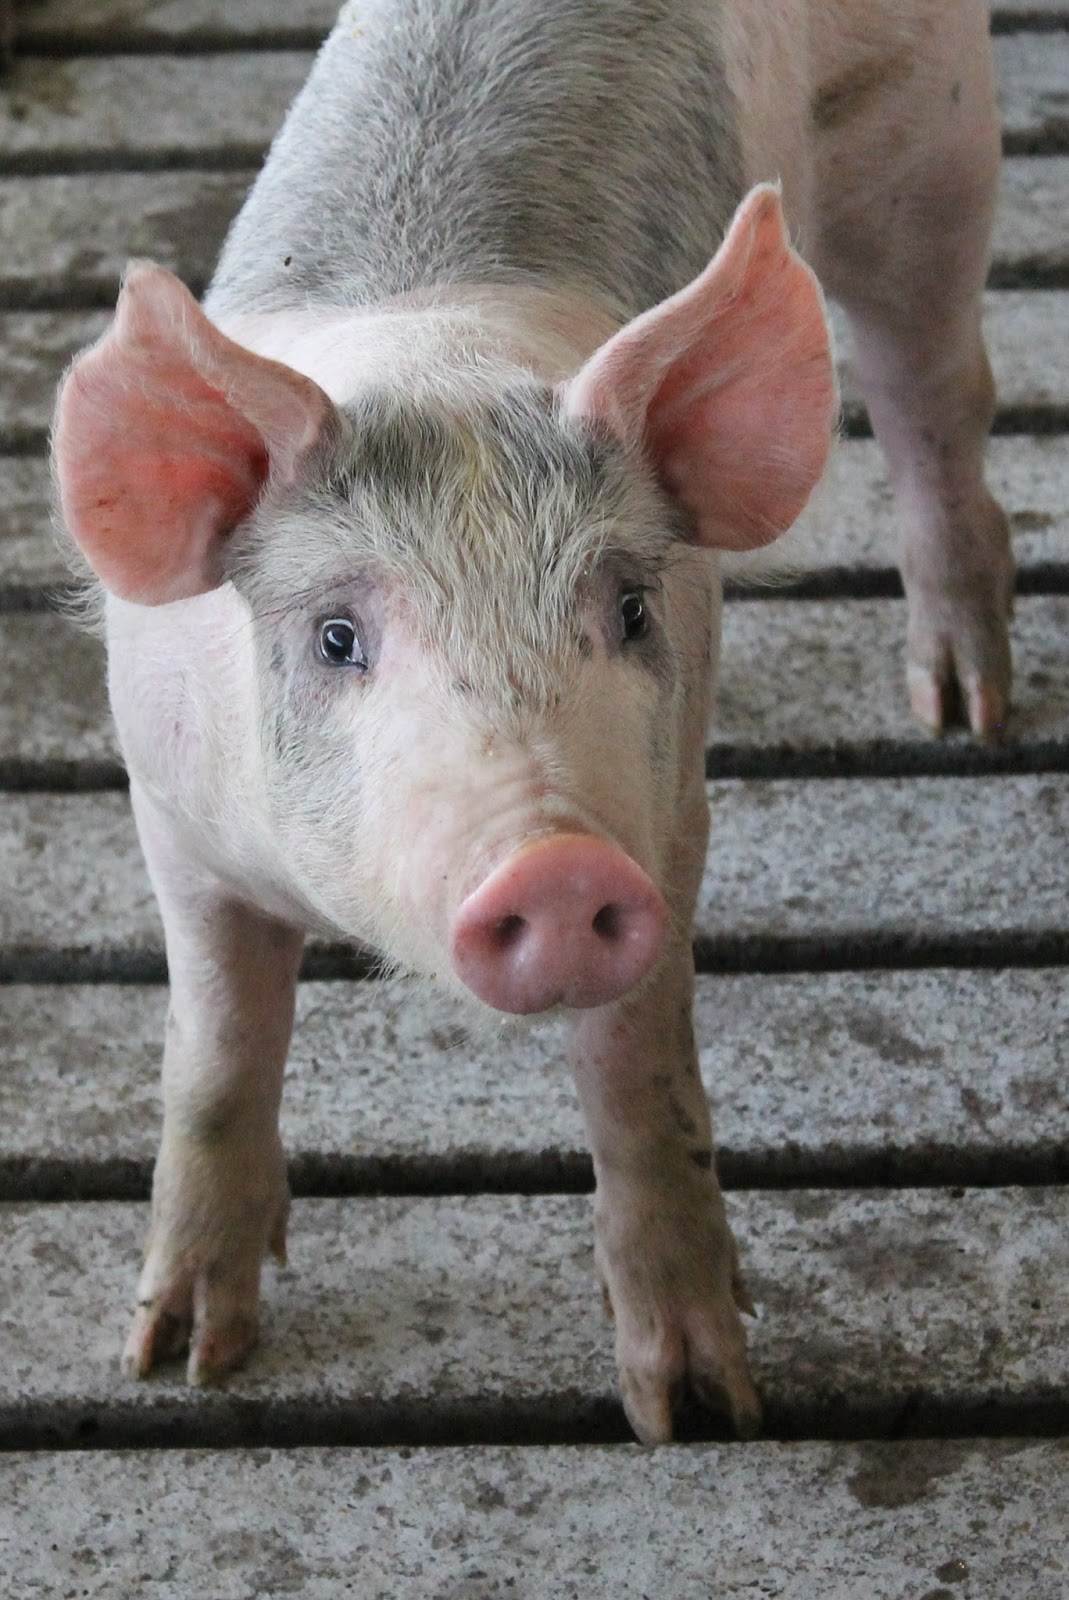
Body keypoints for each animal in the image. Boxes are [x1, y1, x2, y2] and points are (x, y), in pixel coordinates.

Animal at [52, 0, 1011, 1444]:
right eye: (336, 637)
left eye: (628, 609)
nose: (555, 866)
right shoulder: (173, 813)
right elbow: (216, 1052)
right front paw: (181, 1360)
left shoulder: (668, 823)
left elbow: (638, 1076)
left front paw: (697, 1407)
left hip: (927, 144)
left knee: (932, 395)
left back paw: (967, 709)